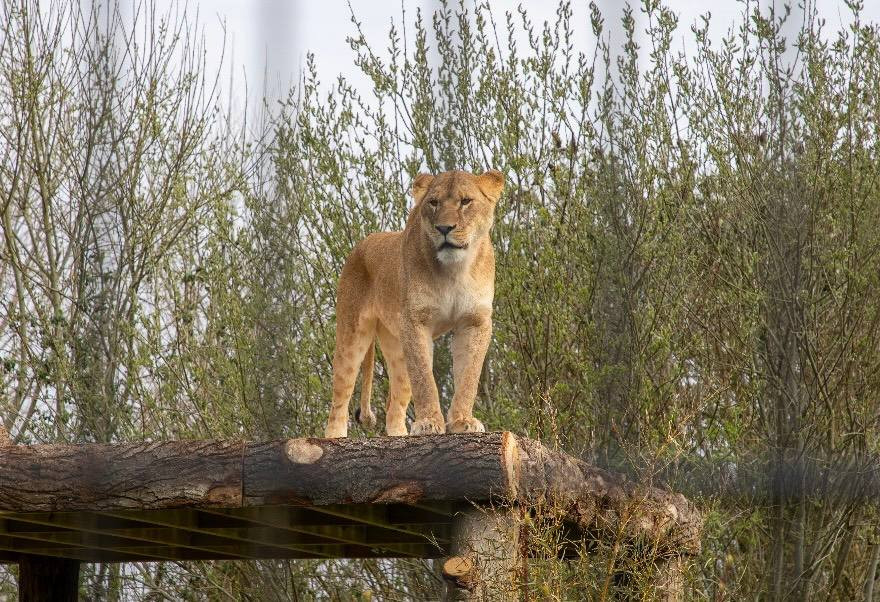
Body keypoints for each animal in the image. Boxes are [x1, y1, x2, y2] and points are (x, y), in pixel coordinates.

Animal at [324, 169, 505, 438]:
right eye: (433, 202)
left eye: (466, 201)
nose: (444, 228)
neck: (455, 270)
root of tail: (362, 244)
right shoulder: (415, 320)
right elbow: (424, 378)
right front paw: (429, 423)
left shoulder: (475, 321)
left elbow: (468, 376)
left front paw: (463, 421)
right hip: (352, 334)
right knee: (339, 400)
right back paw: (335, 437)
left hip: (397, 345)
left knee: (394, 407)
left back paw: (399, 435)